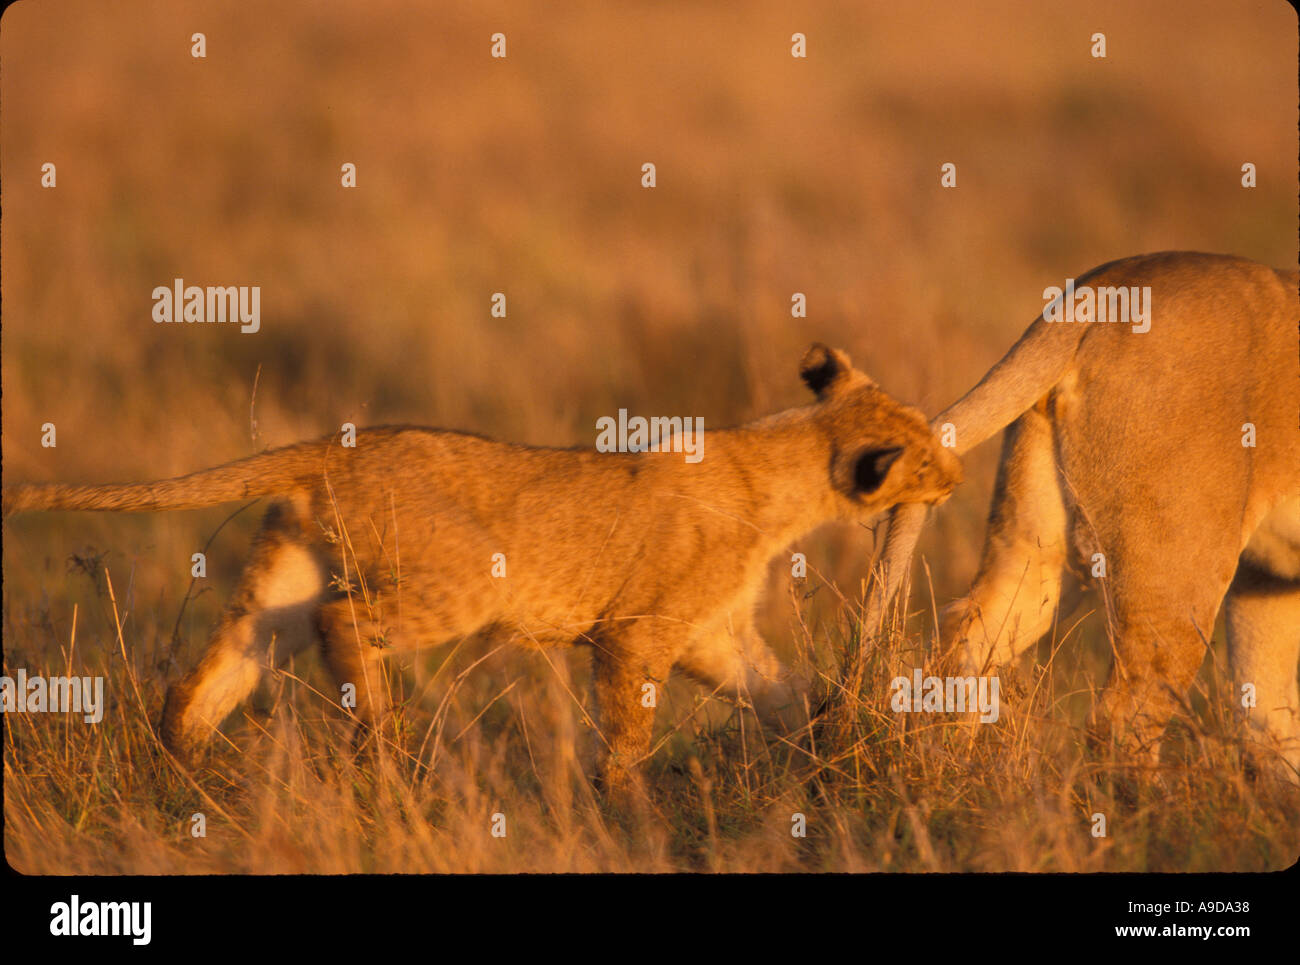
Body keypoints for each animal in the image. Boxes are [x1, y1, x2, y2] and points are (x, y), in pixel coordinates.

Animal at [4, 343, 962, 797]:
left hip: (281, 582)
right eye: (919, 452)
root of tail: (334, 446)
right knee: (345, 623)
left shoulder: (711, 632)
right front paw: (627, 805)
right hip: (462, 581)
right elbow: (628, 731)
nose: (955, 473)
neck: (786, 466)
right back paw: (381, 743)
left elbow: (779, 690)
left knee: (211, 673)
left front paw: (823, 744)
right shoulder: (635, 630)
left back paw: (188, 774)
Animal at [868, 252, 1299, 779]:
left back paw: (948, 774)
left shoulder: (1267, 579)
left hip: (1040, 544)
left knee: (966, 634)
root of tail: (1104, 287)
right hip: (1177, 568)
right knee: (1120, 718)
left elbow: (1270, 717)